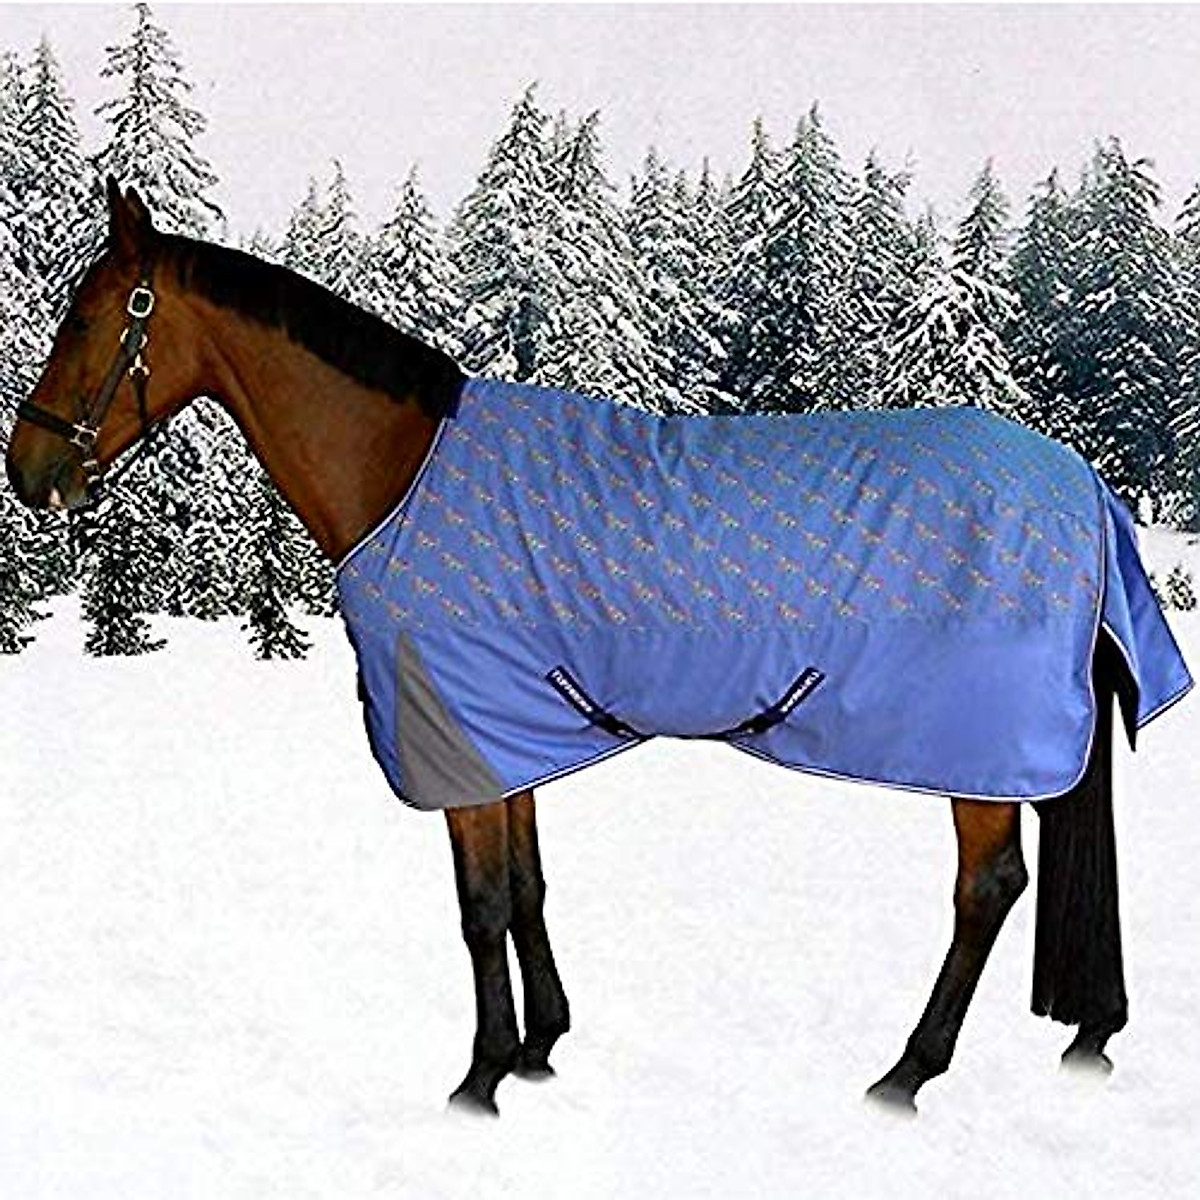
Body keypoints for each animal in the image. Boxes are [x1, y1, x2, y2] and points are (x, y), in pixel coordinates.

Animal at [6, 181, 1190, 1116]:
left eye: (89, 316)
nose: (29, 469)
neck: (403, 468)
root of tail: (1081, 484)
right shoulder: (504, 732)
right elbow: (526, 889)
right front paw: (540, 1047)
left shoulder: (458, 740)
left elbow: (480, 907)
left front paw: (480, 1077)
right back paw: (1086, 1036)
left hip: (976, 750)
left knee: (986, 888)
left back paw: (907, 1073)